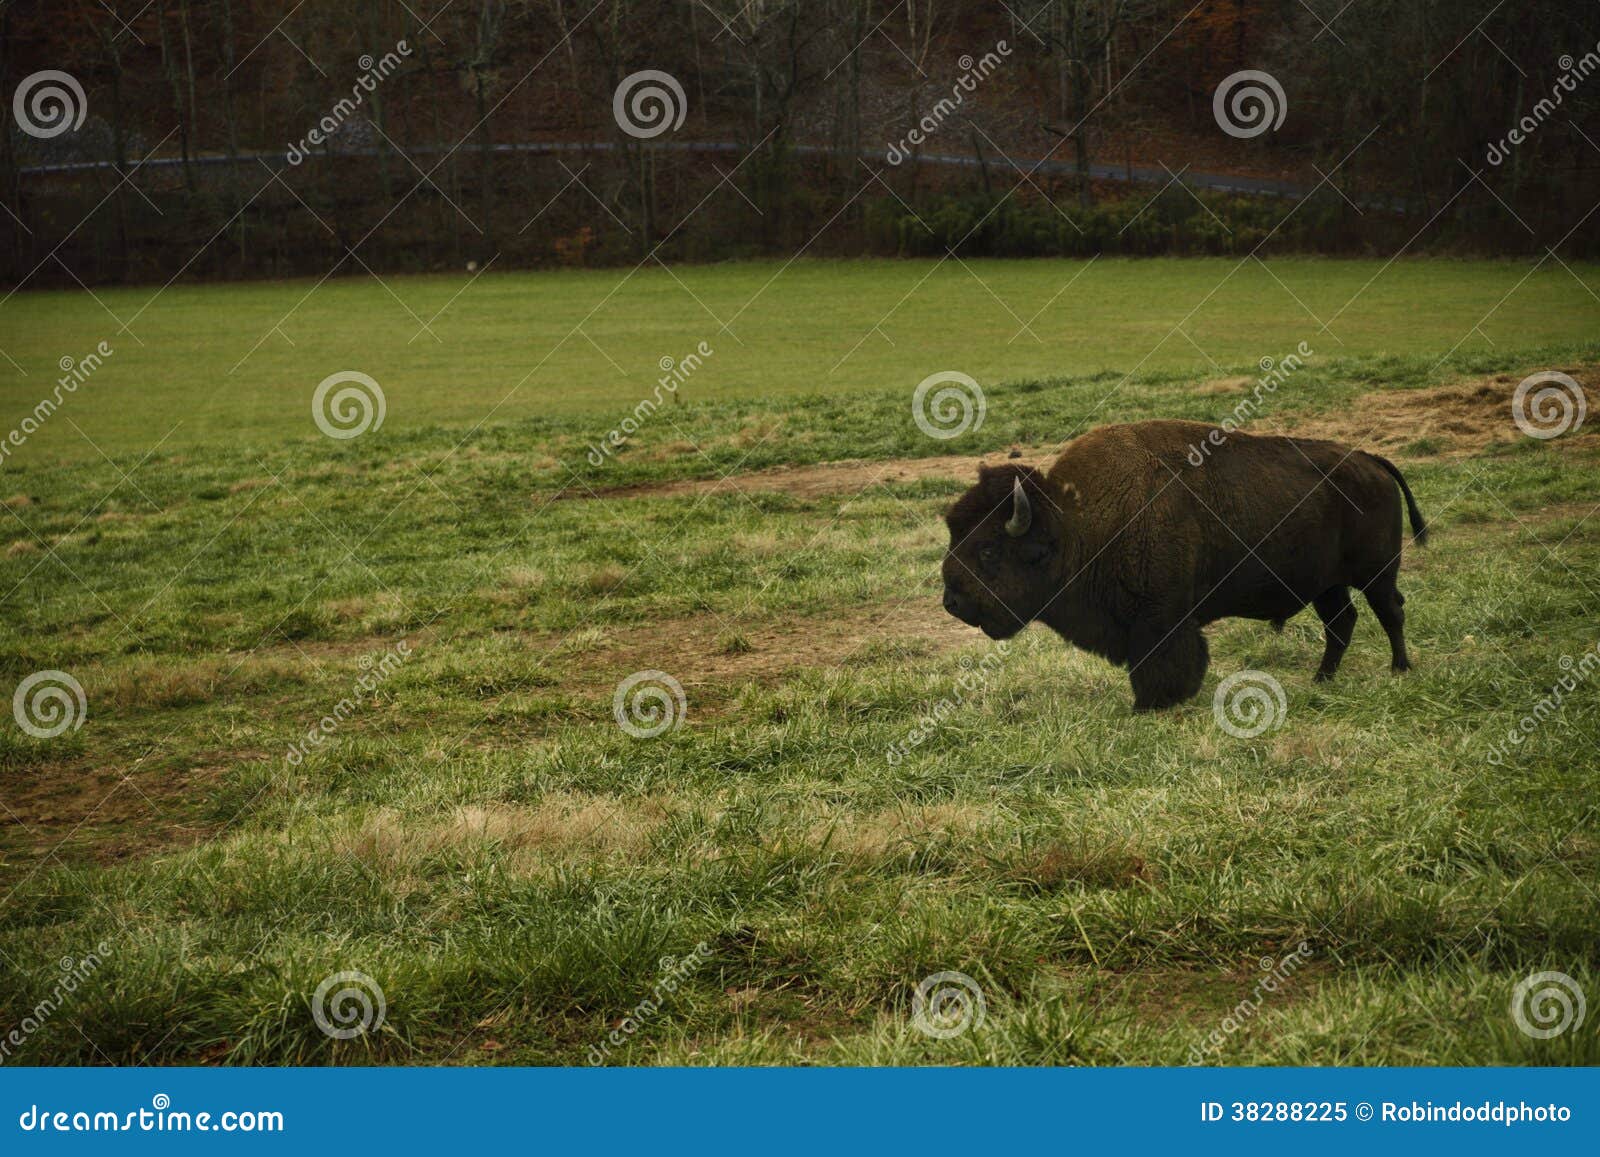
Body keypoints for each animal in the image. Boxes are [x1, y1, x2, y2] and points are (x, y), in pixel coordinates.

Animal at [940, 420, 1428, 710]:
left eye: (989, 550)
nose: (952, 601)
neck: (1074, 523)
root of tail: (1370, 461)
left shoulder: (1160, 619)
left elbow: (1162, 662)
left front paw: (1151, 705)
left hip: (1376, 574)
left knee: (1390, 612)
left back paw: (1399, 669)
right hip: (1326, 585)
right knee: (1342, 622)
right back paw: (1322, 680)